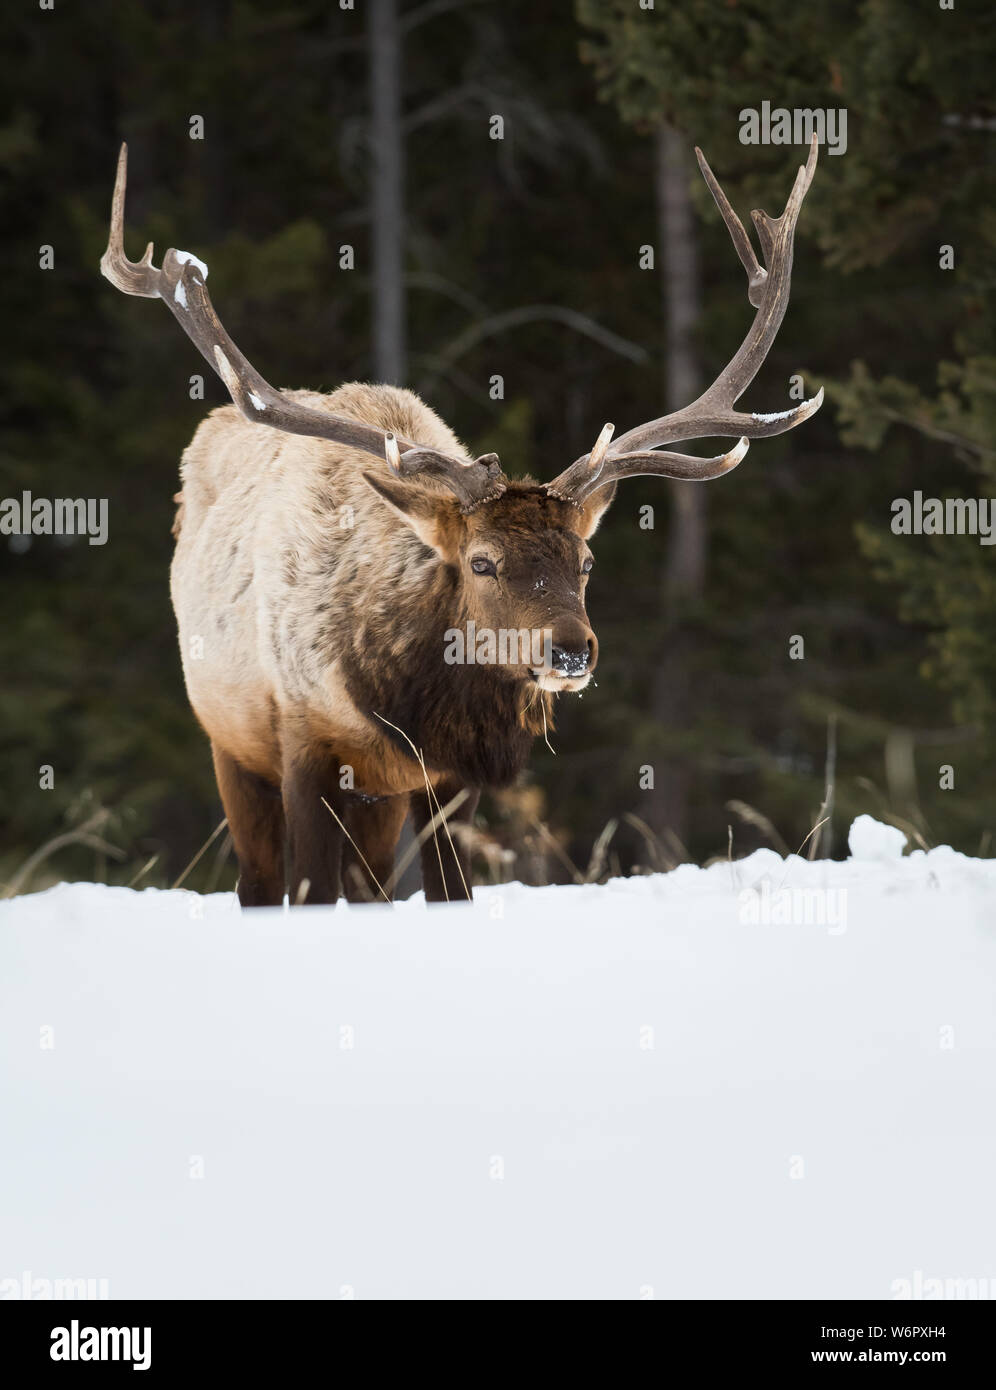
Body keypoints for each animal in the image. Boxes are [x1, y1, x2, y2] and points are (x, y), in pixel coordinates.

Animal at [100, 136, 822, 908]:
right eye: (482, 561)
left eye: (586, 561)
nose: (571, 651)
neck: (401, 706)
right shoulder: (301, 740)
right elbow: (309, 889)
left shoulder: (446, 781)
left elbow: (452, 894)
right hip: (230, 741)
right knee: (259, 886)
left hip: (374, 804)